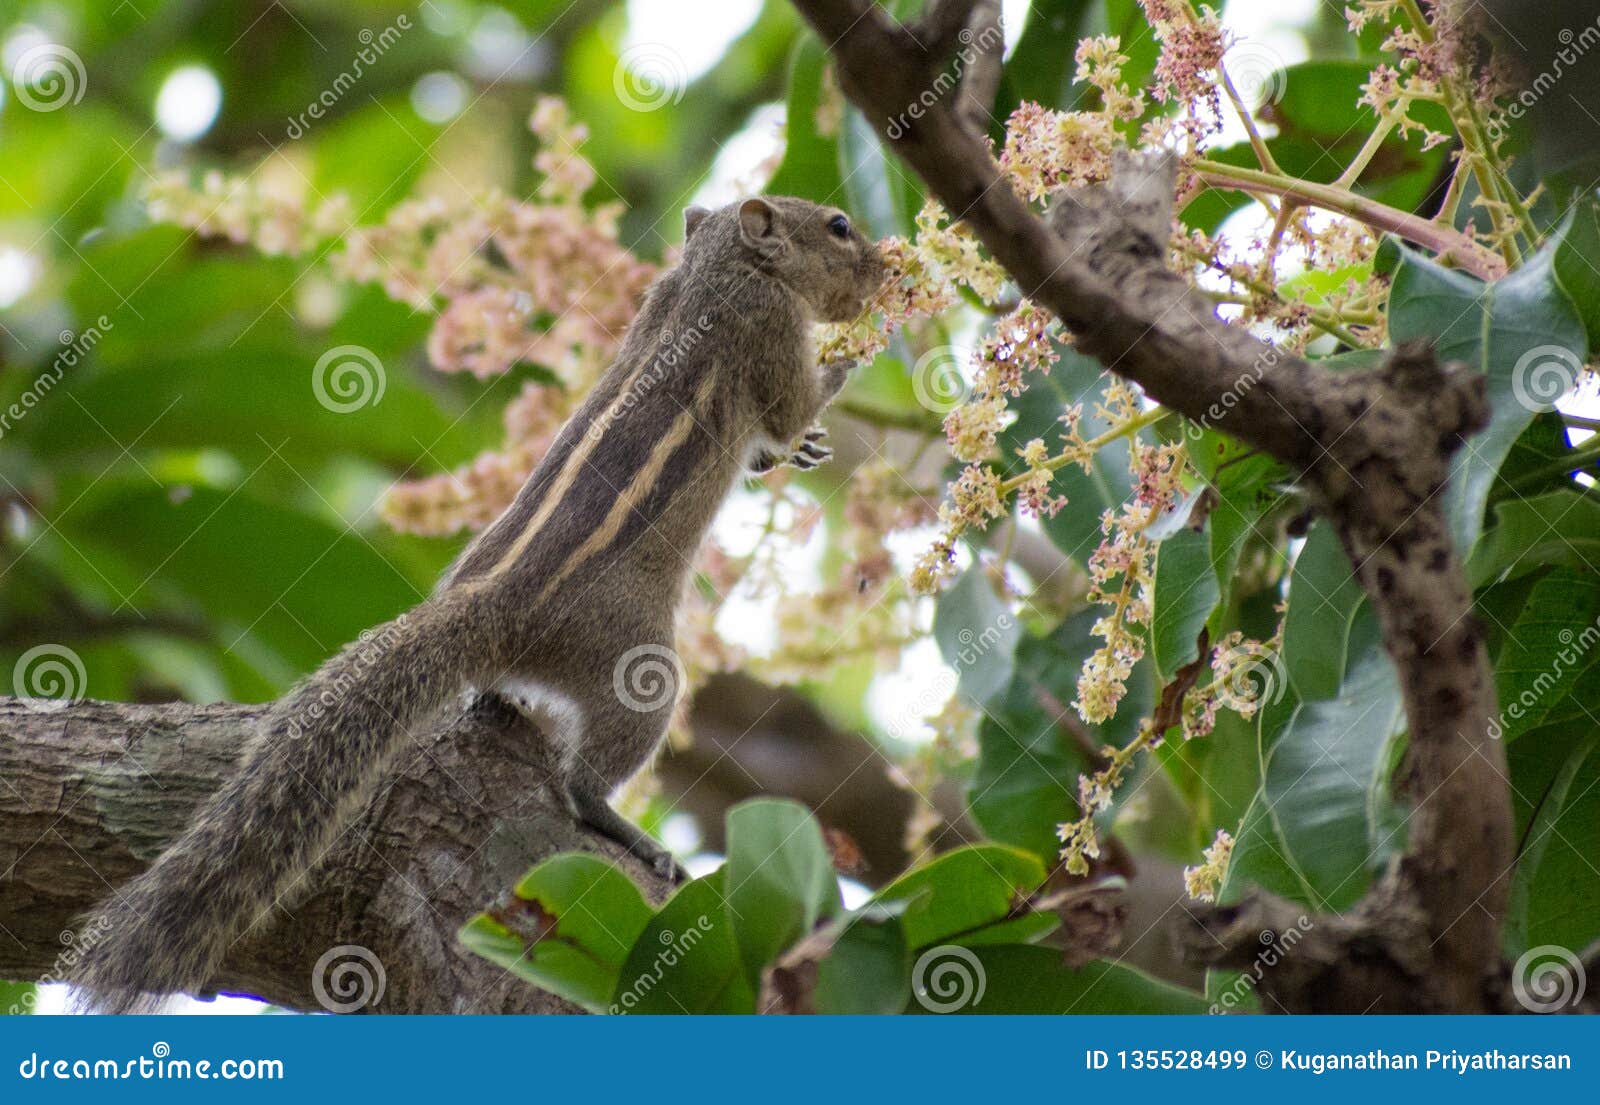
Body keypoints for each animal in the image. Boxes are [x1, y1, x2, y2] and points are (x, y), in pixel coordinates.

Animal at [73, 195, 887, 1013]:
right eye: (840, 226)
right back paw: (628, 830)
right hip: (640, 665)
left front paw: (807, 442)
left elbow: (772, 442)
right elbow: (789, 409)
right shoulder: (768, 330)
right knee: (583, 782)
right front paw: (847, 365)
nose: (887, 268)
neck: (713, 269)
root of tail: (490, 607)